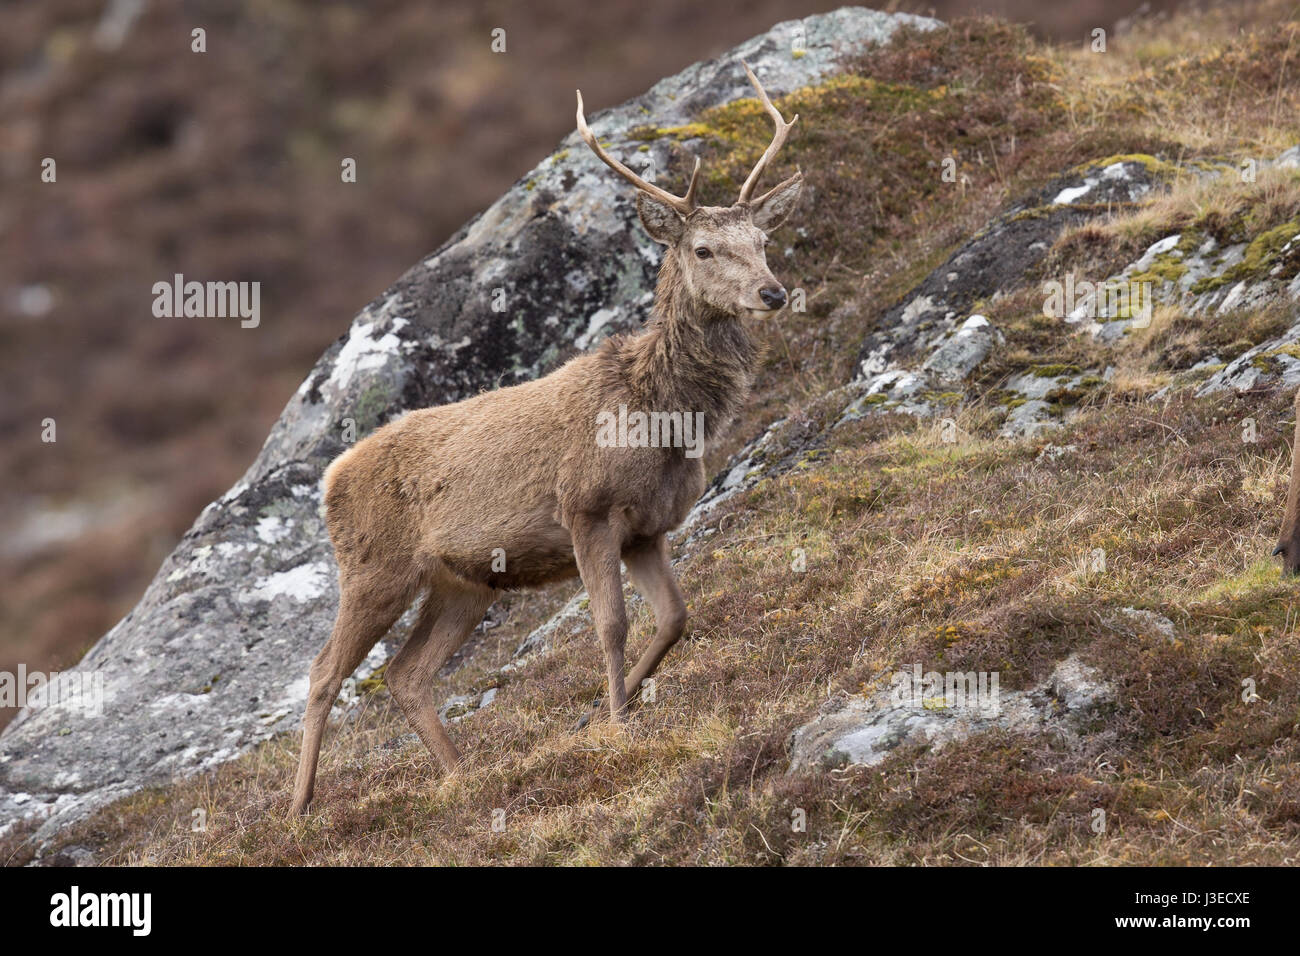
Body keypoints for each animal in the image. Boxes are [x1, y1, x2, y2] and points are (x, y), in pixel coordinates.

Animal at [290, 62, 803, 814]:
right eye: (704, 248)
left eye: (762, 245)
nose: (772, 293)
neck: (659, 416)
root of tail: (329, 478)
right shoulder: (585, 508)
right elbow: (611, 624)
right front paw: (618, 724)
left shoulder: (648, 528)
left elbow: (676, 617)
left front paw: (605, 712)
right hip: (373, 568)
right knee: (324, 671)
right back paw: (299, 808)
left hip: (465, 582)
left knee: (407, 674)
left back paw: (463, 774)